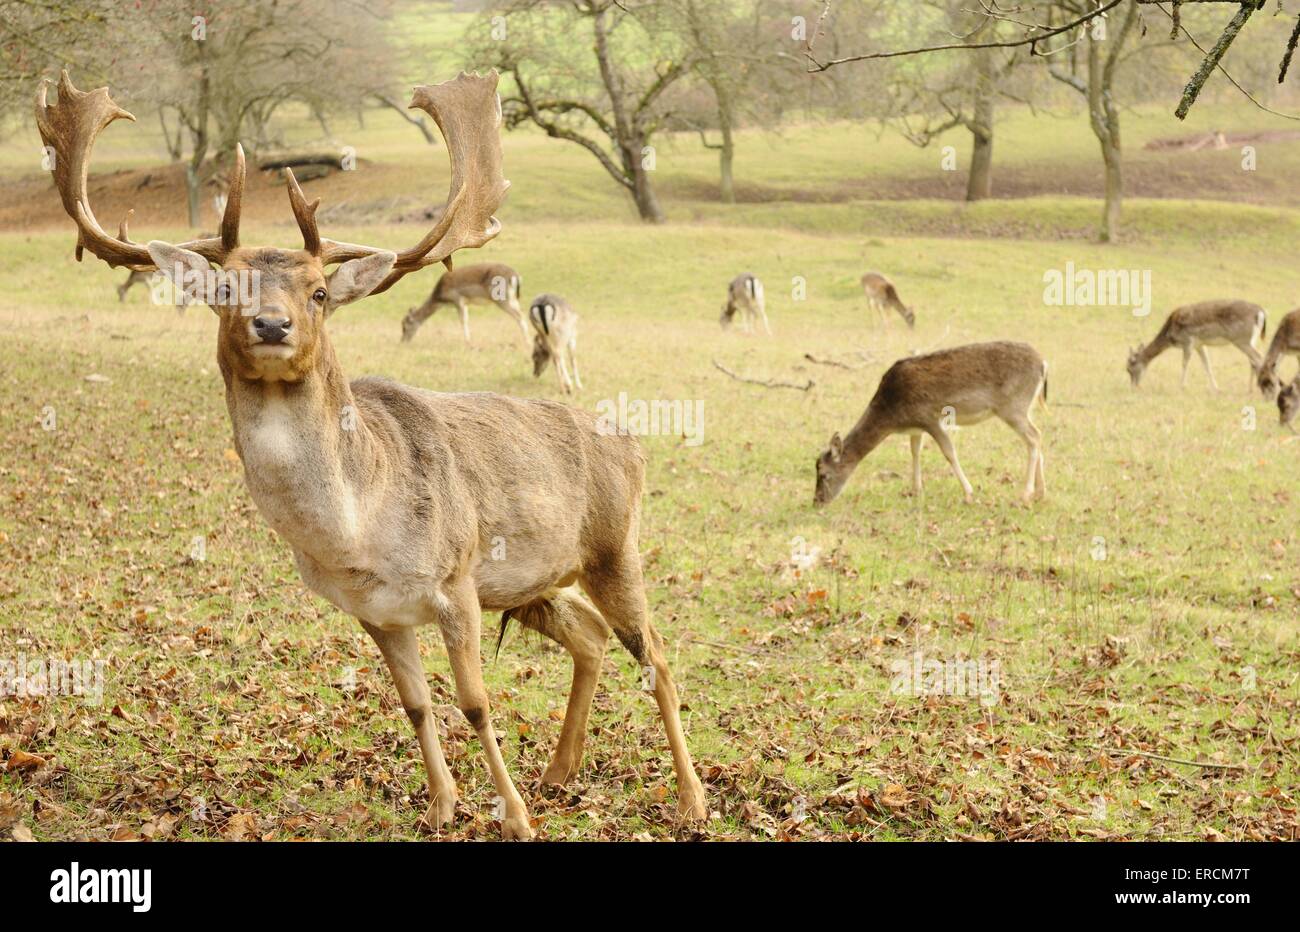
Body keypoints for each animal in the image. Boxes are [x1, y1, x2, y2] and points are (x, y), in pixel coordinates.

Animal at [37, 70, 706, 841]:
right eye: (227, 289)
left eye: (320, 291)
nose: (271, 325)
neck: (357, 533)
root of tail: (632, 441)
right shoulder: (375, 612)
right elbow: (416, 705)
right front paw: (443, 806)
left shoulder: (455, 579)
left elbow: (476, 703)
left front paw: (513, 817)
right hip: (533, 579)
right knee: (591, 638)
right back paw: (559, 773)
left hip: (613, 548)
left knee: (659, 659)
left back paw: (691, 799)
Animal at [814, 341, 1047, 506]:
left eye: (823, 474)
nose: (817, 502)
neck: (892, 416)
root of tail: (1044, 364)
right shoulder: (916, 427)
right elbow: (915, 451)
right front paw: (915, 490)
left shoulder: (929, 418)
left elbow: (949, 452)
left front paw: (969, 494)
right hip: (1026, 407)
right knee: (1037, 436)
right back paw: (1039, 493)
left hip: (1012, 407)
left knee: (1034, 436)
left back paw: (1025, 495)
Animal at [1126, 299, 1266, 392]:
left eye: (1130, 367)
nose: (1133, 386)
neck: (1170, 334)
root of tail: (1261, 313)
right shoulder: (1200, 344)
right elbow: (1207, 365)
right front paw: (1216, 388)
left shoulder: (1188, 340)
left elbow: (1184, 363)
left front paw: (1182, 386)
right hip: (1250, 340)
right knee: (1254, 361)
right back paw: (1251, 389)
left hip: (1241, 339)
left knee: (1258, 358)